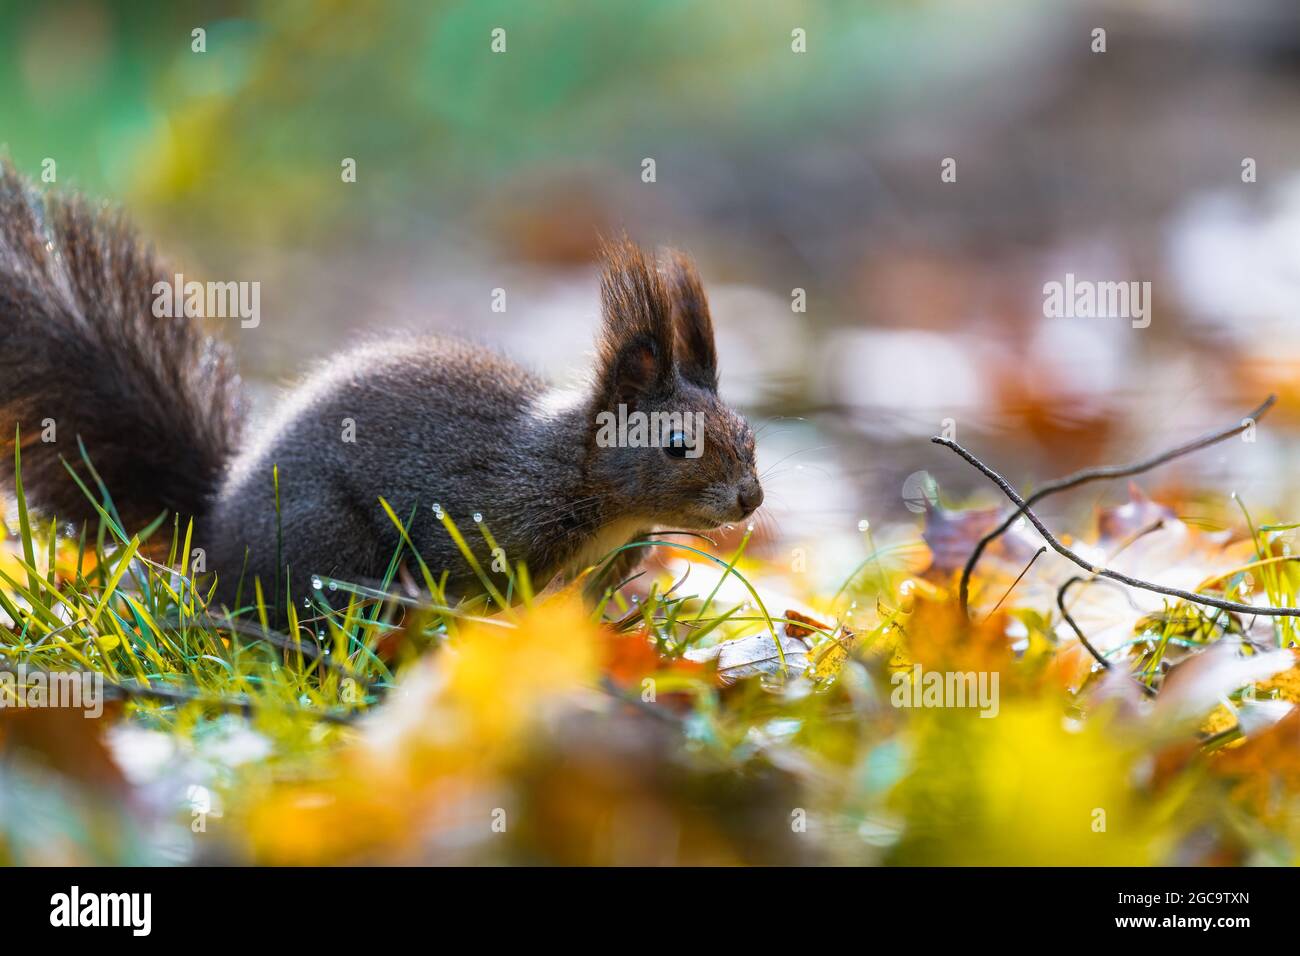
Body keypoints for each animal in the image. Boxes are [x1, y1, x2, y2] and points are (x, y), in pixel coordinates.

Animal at [0, 161, 763, 614]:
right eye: (676, 444)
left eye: (750, 437)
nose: (751, 499)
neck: (569, 470)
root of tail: (213, 529)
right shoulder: (478, 519)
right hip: (322, 534)